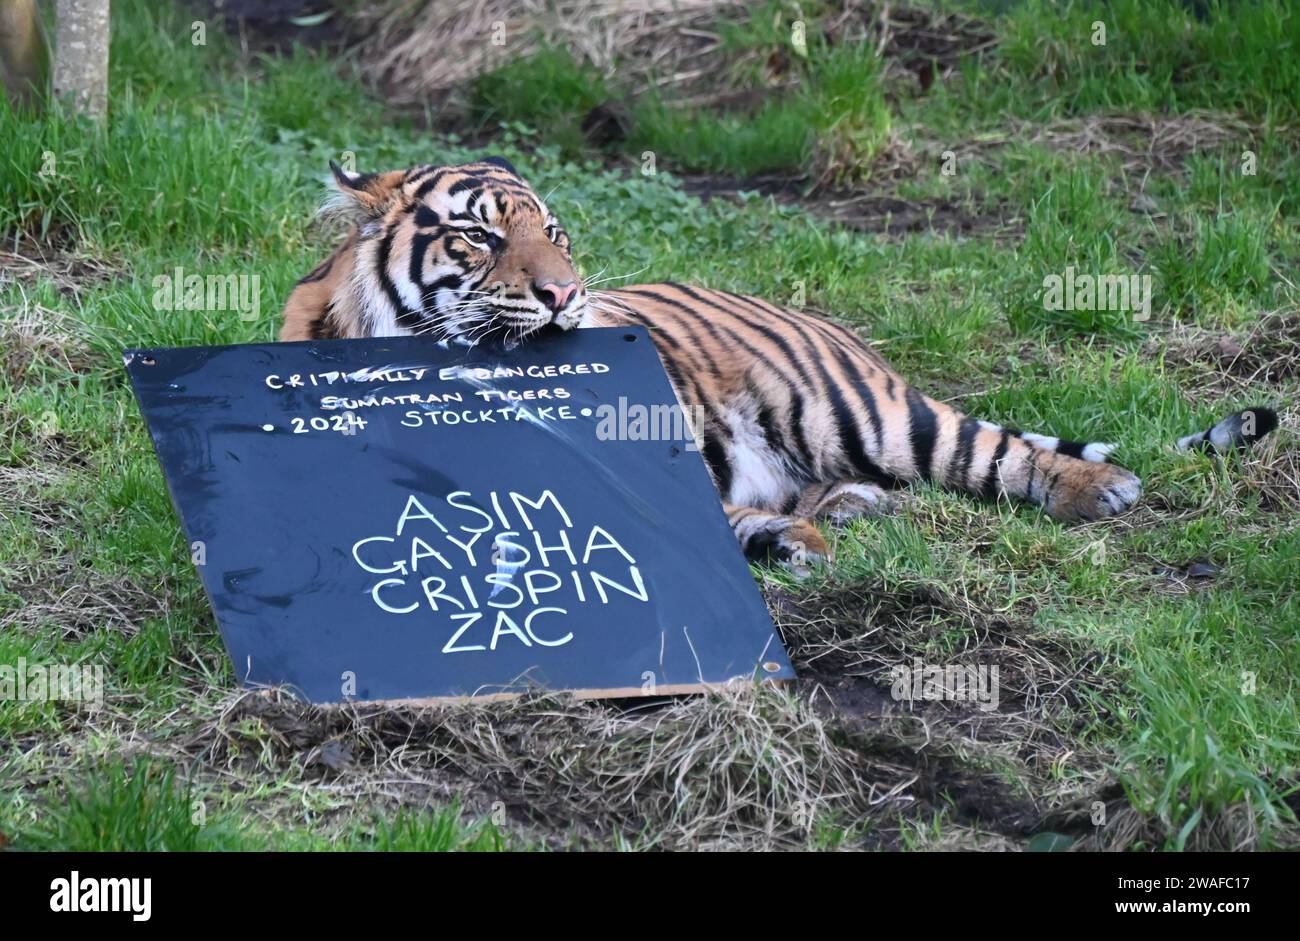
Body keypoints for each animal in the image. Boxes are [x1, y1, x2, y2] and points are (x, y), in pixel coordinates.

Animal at [279, 157, 1267, 565]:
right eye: (481, 236)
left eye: (553, 235)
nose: (568, 293)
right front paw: (786, 539)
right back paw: (840, 512)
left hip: (869, 415)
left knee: (993, 449)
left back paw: (1099, 488)